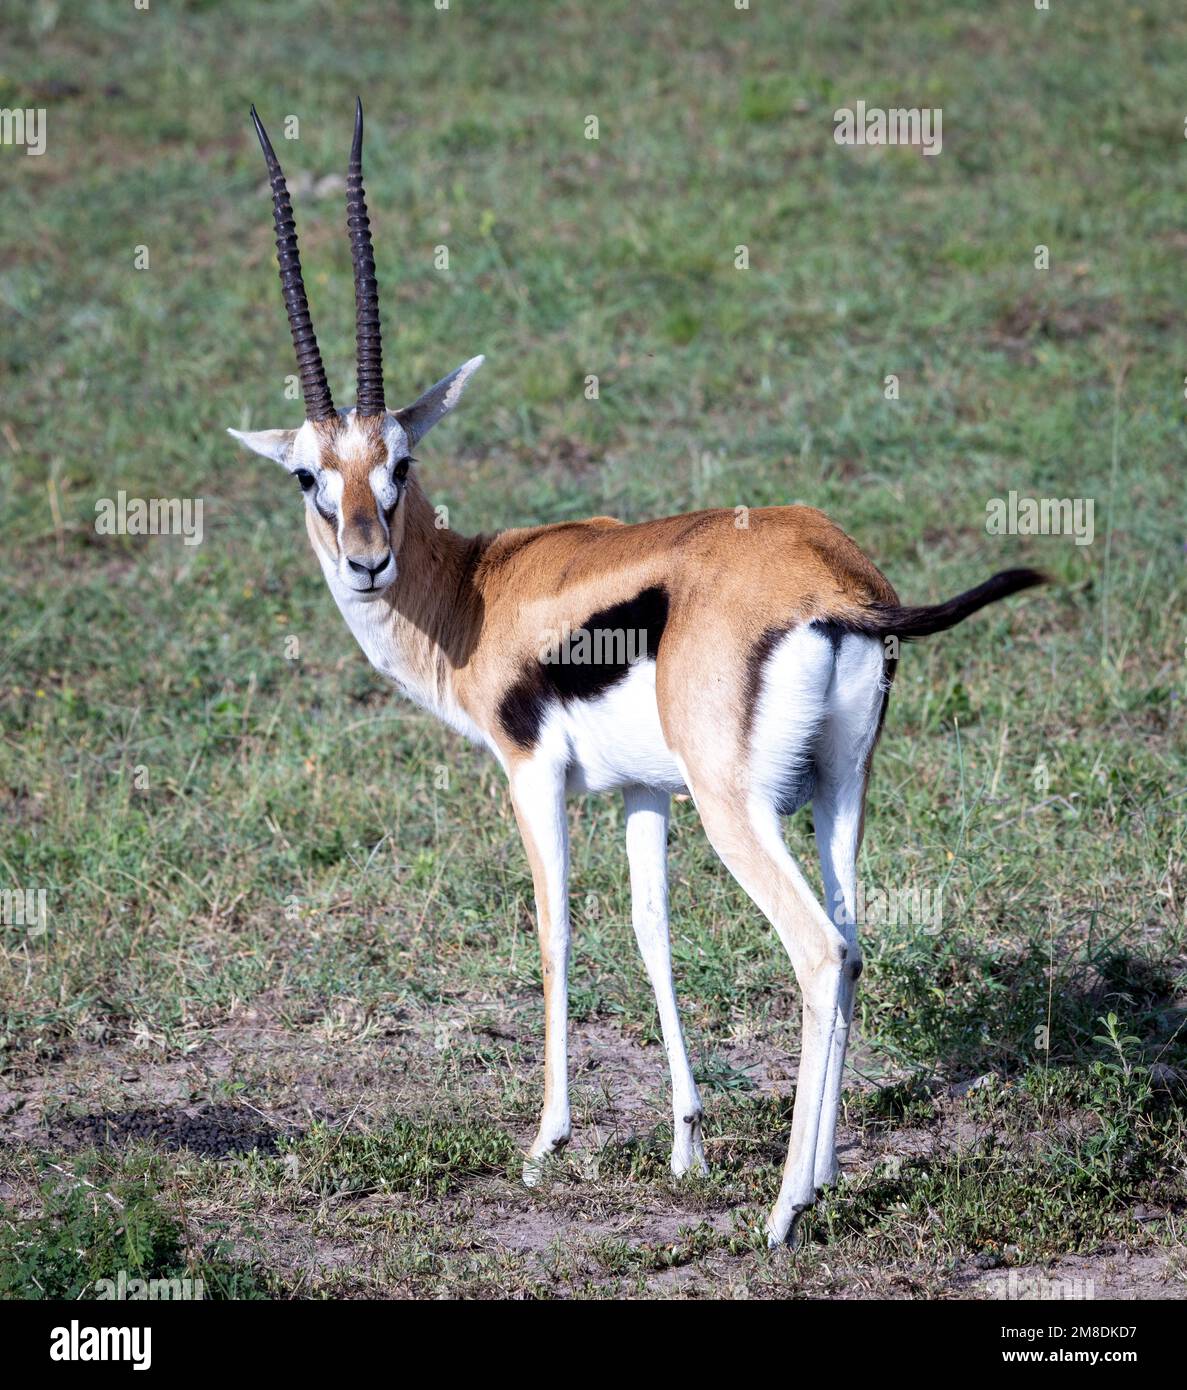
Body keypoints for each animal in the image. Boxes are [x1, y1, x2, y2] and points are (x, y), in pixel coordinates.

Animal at [229, 102, 1045, 1246]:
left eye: (400, 463)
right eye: (311, 475)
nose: (366, 561)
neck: (476, 591)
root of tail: (834, 581)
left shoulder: (532, 776)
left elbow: (556, 931)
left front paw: (546, 1142)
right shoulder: (641, 796)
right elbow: (651, 936)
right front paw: (686, 1143)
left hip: (739, 808)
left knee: (817, 951)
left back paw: (785, 1211)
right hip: (838, 789)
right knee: (852, 939)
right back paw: (824, 1174)